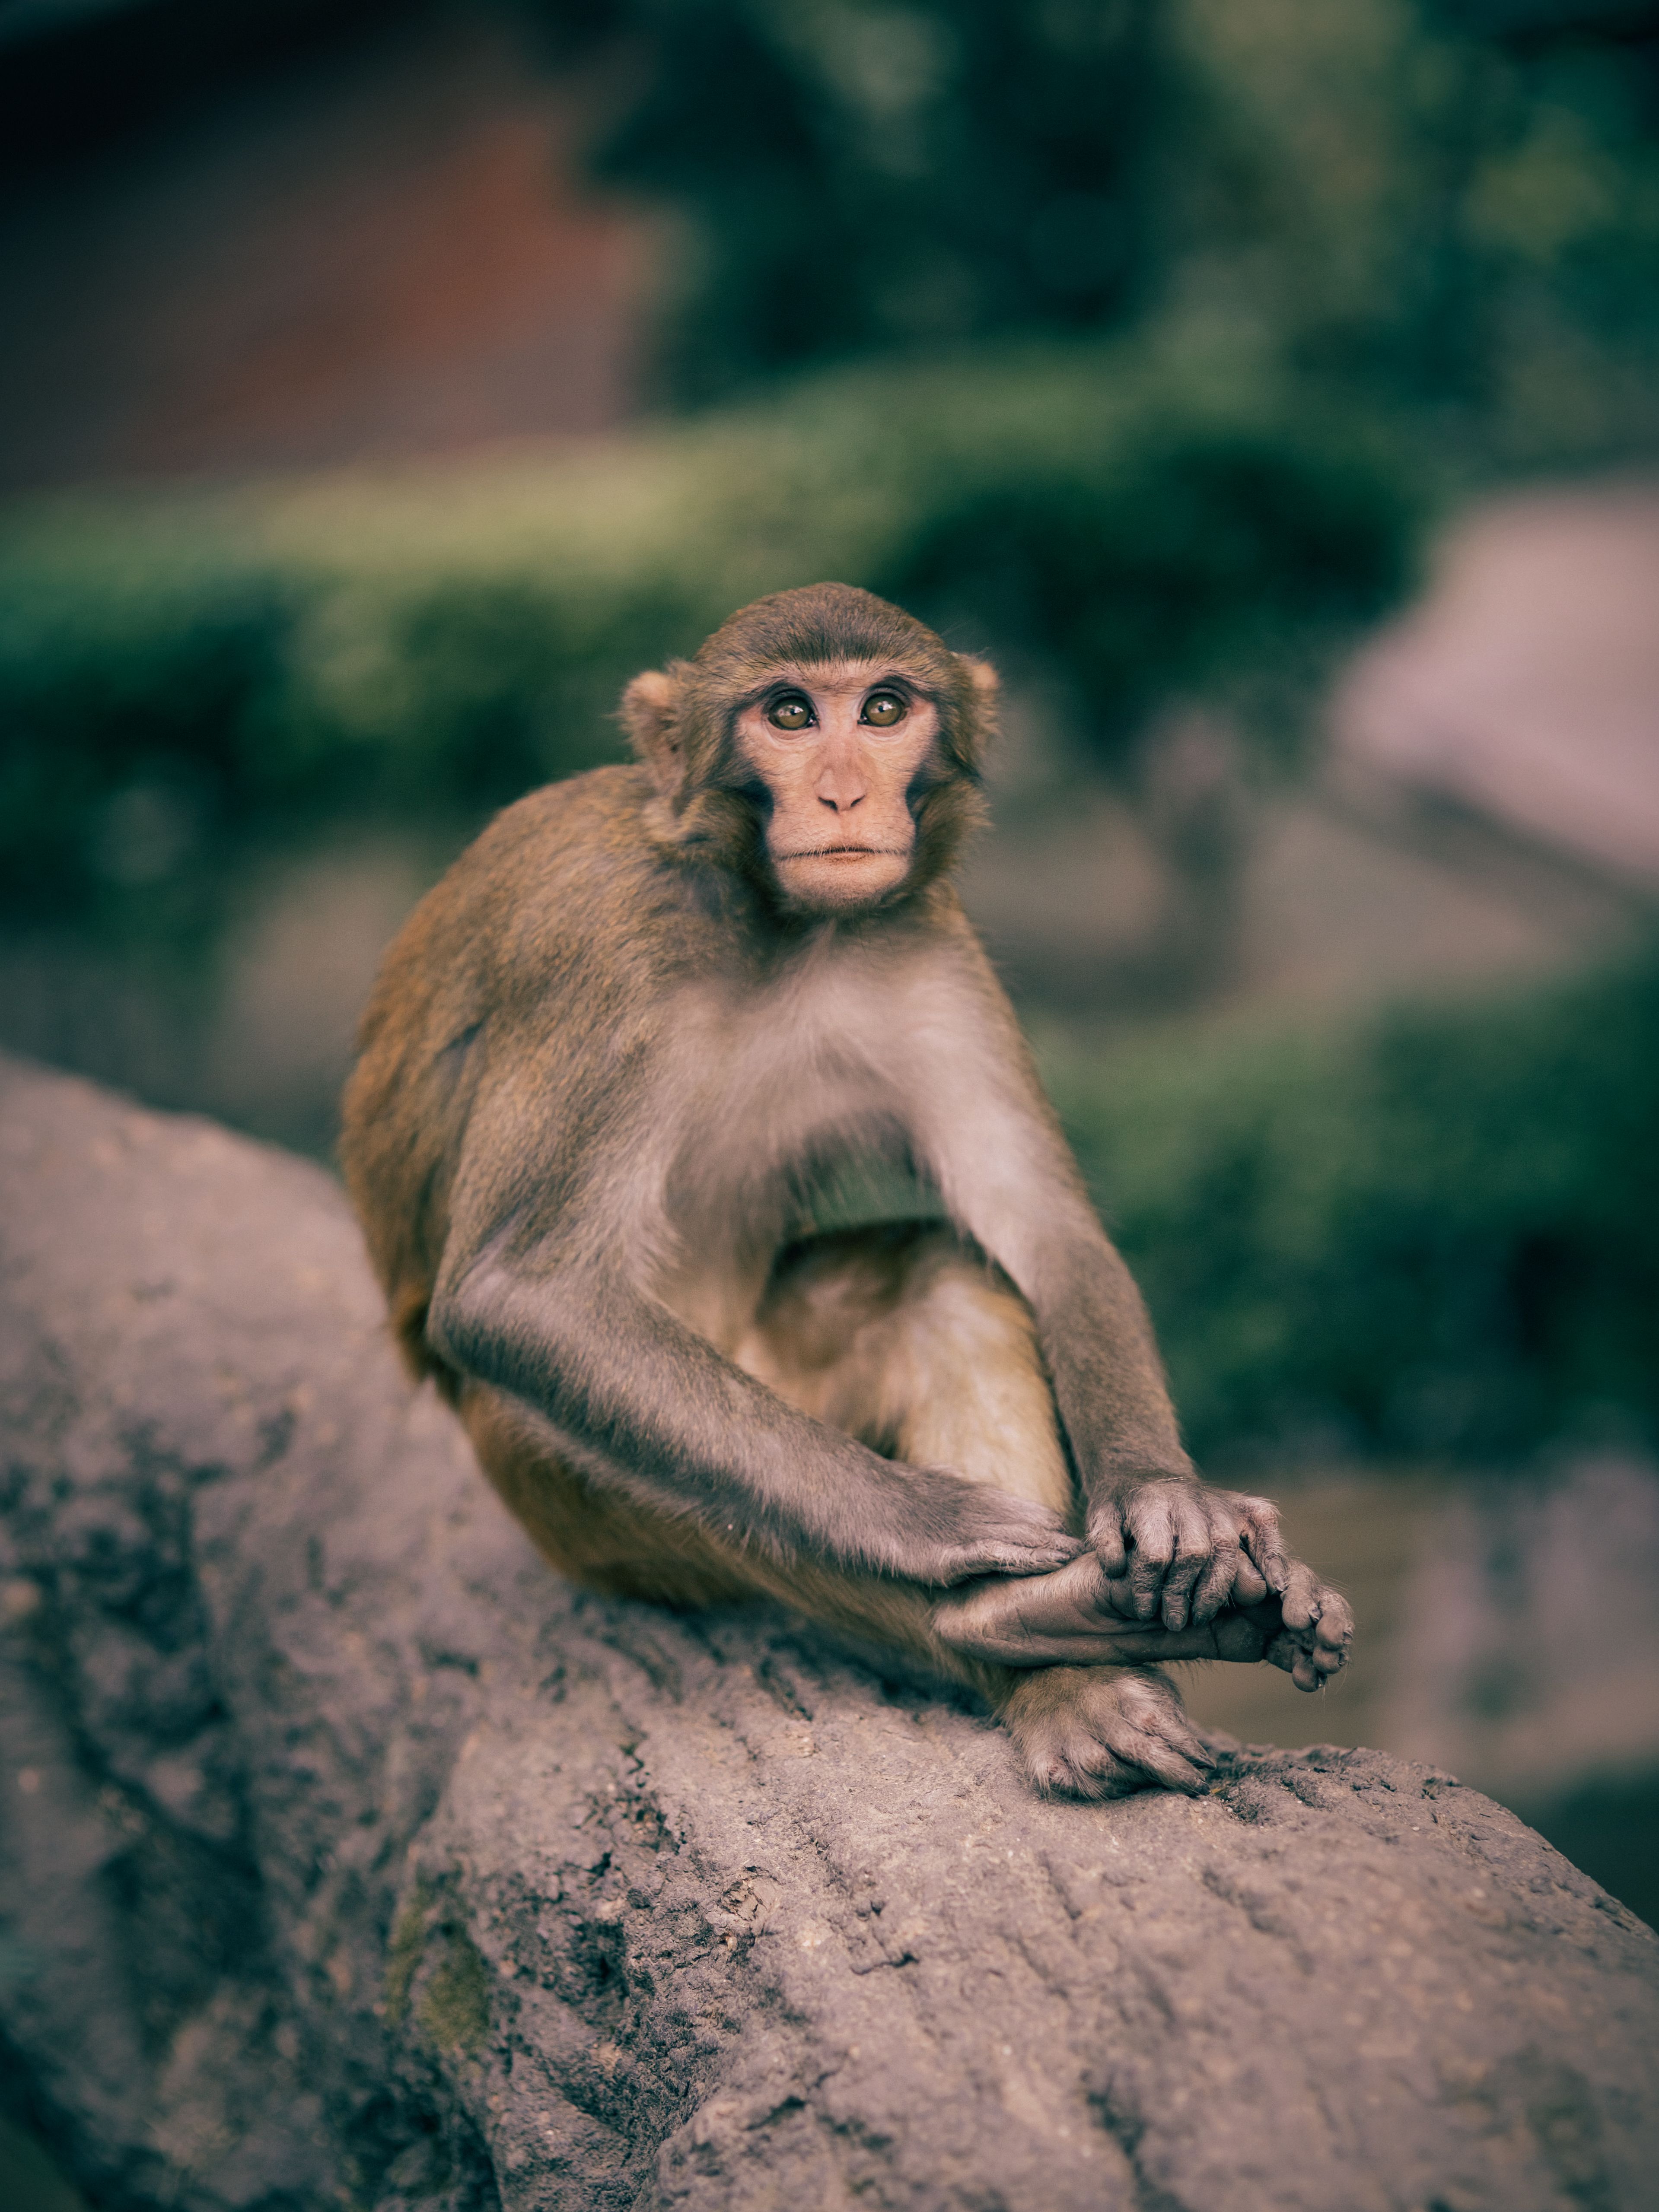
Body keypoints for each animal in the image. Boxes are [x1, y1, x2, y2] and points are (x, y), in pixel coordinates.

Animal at [341, 583, 1352, 1799]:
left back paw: (1087, 1670)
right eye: (787, 713)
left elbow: (1041, 1226)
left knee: (945, 1282)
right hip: (574, 1504)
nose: (841, 791)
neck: (773, 924)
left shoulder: (923, 941)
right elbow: (517, 1293)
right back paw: (1006, 1621)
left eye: (880, 709)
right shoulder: (601, 947)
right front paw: (931, 1519)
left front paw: (1165, 1498)